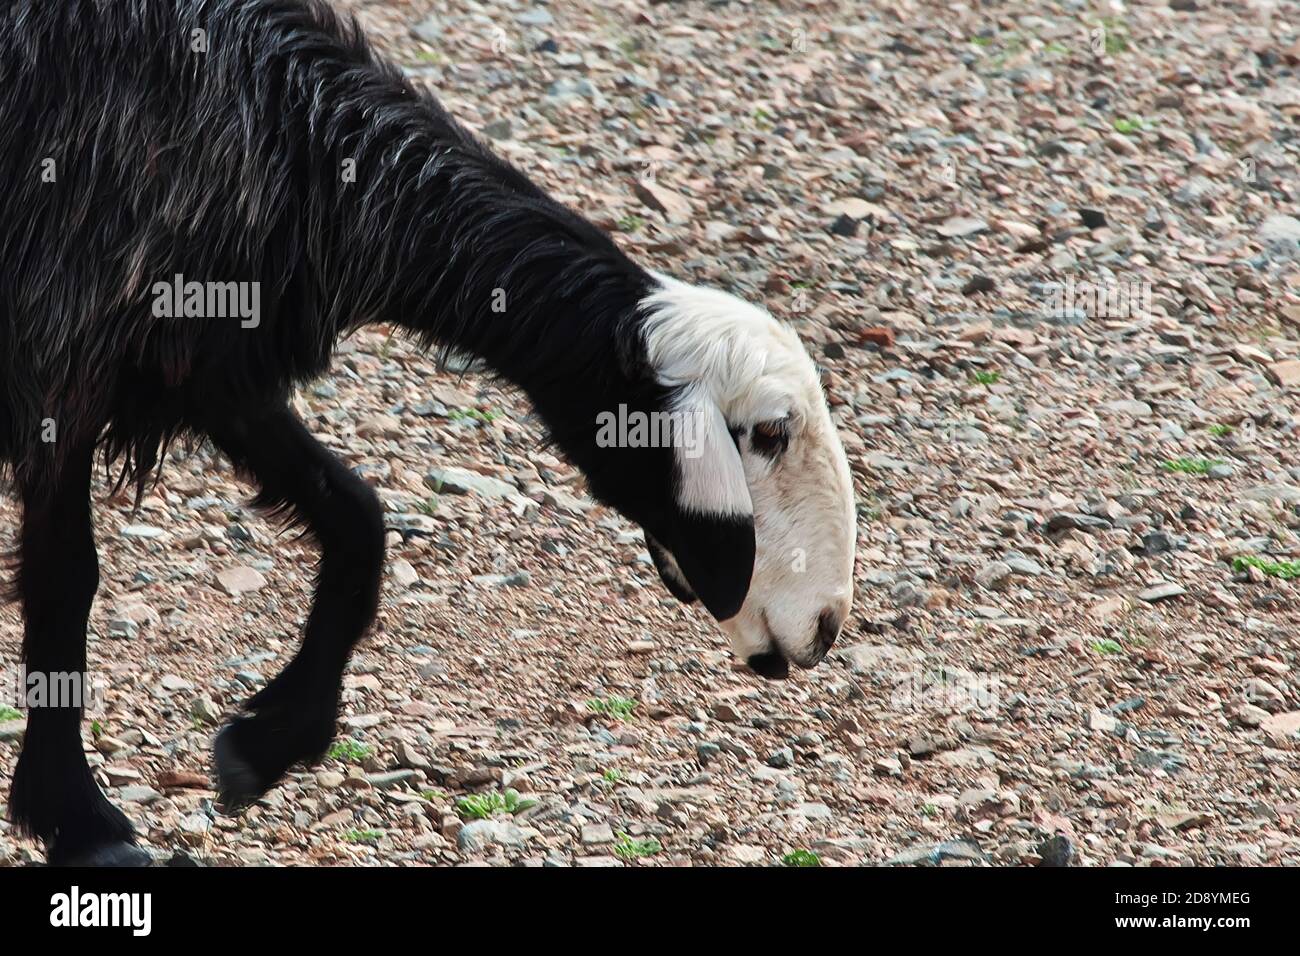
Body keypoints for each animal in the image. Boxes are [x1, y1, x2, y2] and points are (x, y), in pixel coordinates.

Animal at [0, 0, 856, 866]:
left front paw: (269, 743)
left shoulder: (202, 356)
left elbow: (358, 518)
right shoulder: (62, 343)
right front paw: (77, 818)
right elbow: (65, 579)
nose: (826, 628)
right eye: (770, 434)